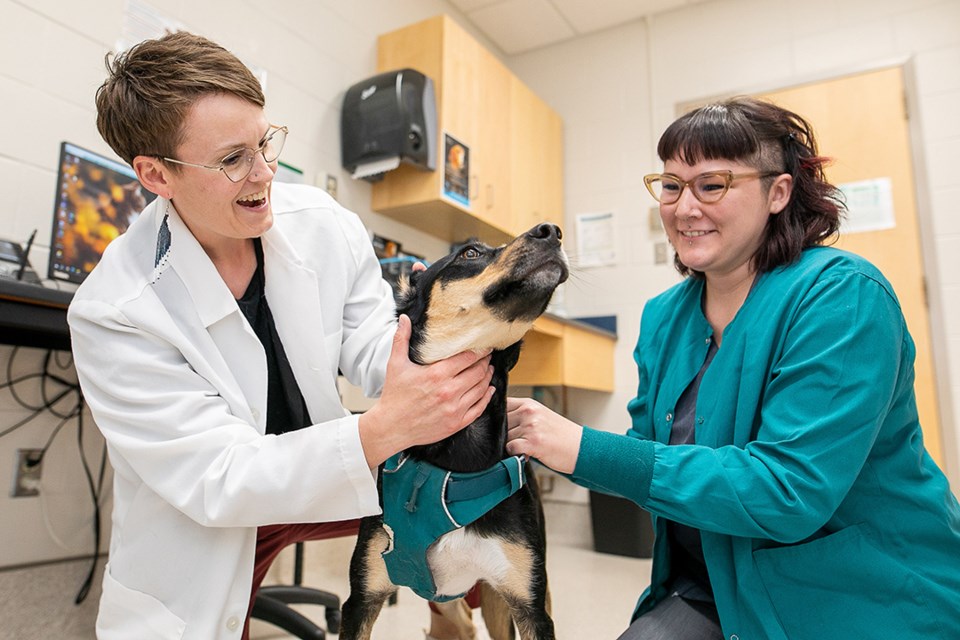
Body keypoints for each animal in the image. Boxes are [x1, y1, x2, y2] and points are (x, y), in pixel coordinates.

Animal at [342, 224, 568, 640]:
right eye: (470, 254)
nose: (550, 230)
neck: (456, 454)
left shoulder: (529, 607)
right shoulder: (360, 601)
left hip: (501, 601)